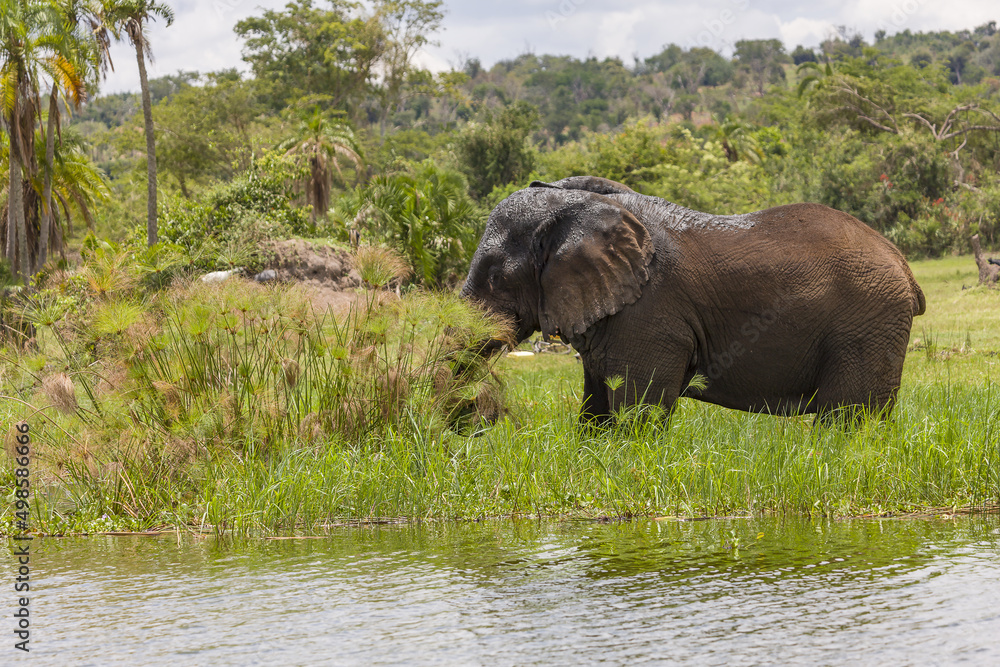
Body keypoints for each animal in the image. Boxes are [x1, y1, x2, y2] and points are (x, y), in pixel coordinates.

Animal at [459, 175, 926, 423]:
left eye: (497, 277)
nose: (476, 419)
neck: (576, 205)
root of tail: (902, 264)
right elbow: (595, 411)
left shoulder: (650, 313)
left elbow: (638, 415)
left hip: (866, 321)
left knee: (847, 419)